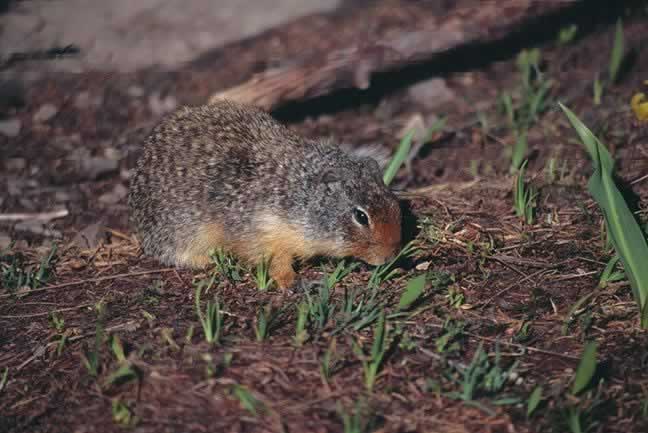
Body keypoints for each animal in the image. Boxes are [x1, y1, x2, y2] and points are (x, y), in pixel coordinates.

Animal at [128, 100, 402, 289]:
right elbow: (275, 262)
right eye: (361, 216)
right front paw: (296, 282)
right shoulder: (262, 230)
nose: (391, 255)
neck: (296, 191)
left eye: (396, 207)